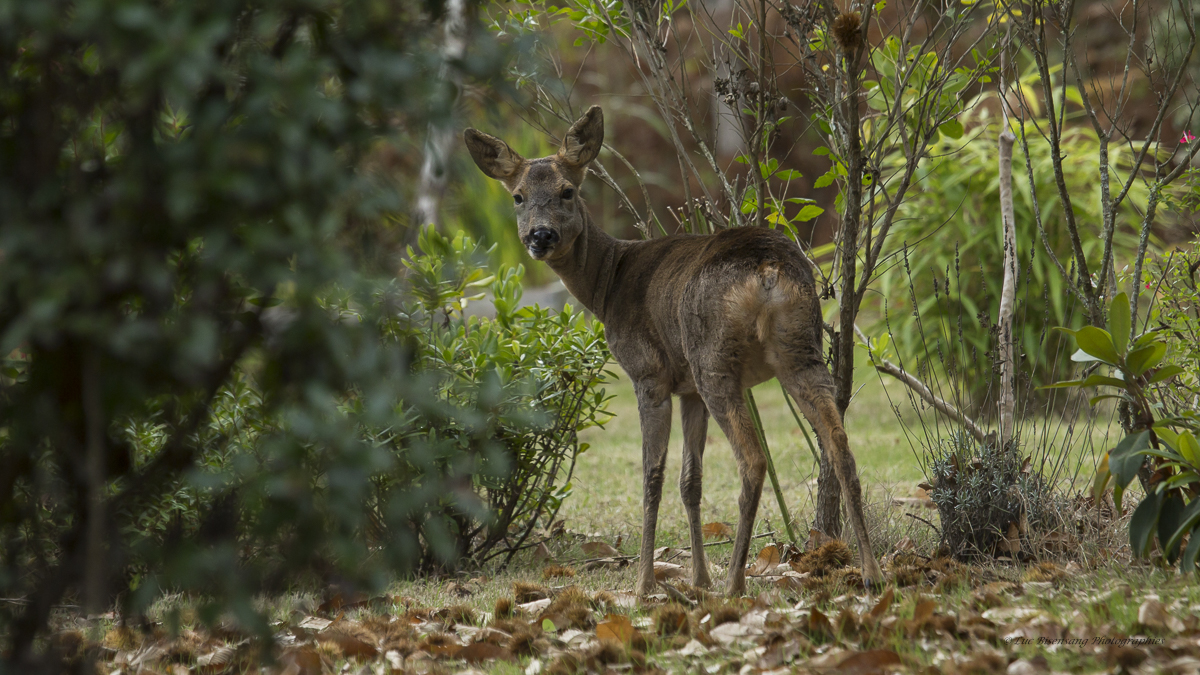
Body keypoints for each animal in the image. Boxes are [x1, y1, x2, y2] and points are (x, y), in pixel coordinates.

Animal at [463, 106, 888, 593]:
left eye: (567, 191)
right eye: (517, 197)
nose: (541, 236)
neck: (607, 284)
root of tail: (768, 270)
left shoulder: (649, 373)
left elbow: (653, 475)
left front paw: (646, 582)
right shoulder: (687, 390)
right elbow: (691, 481)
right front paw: (698, 577)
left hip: (713, 358)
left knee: (753, 460)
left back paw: (735, 582)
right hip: (800, 348)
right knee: (841, 448)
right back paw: (872, 574)